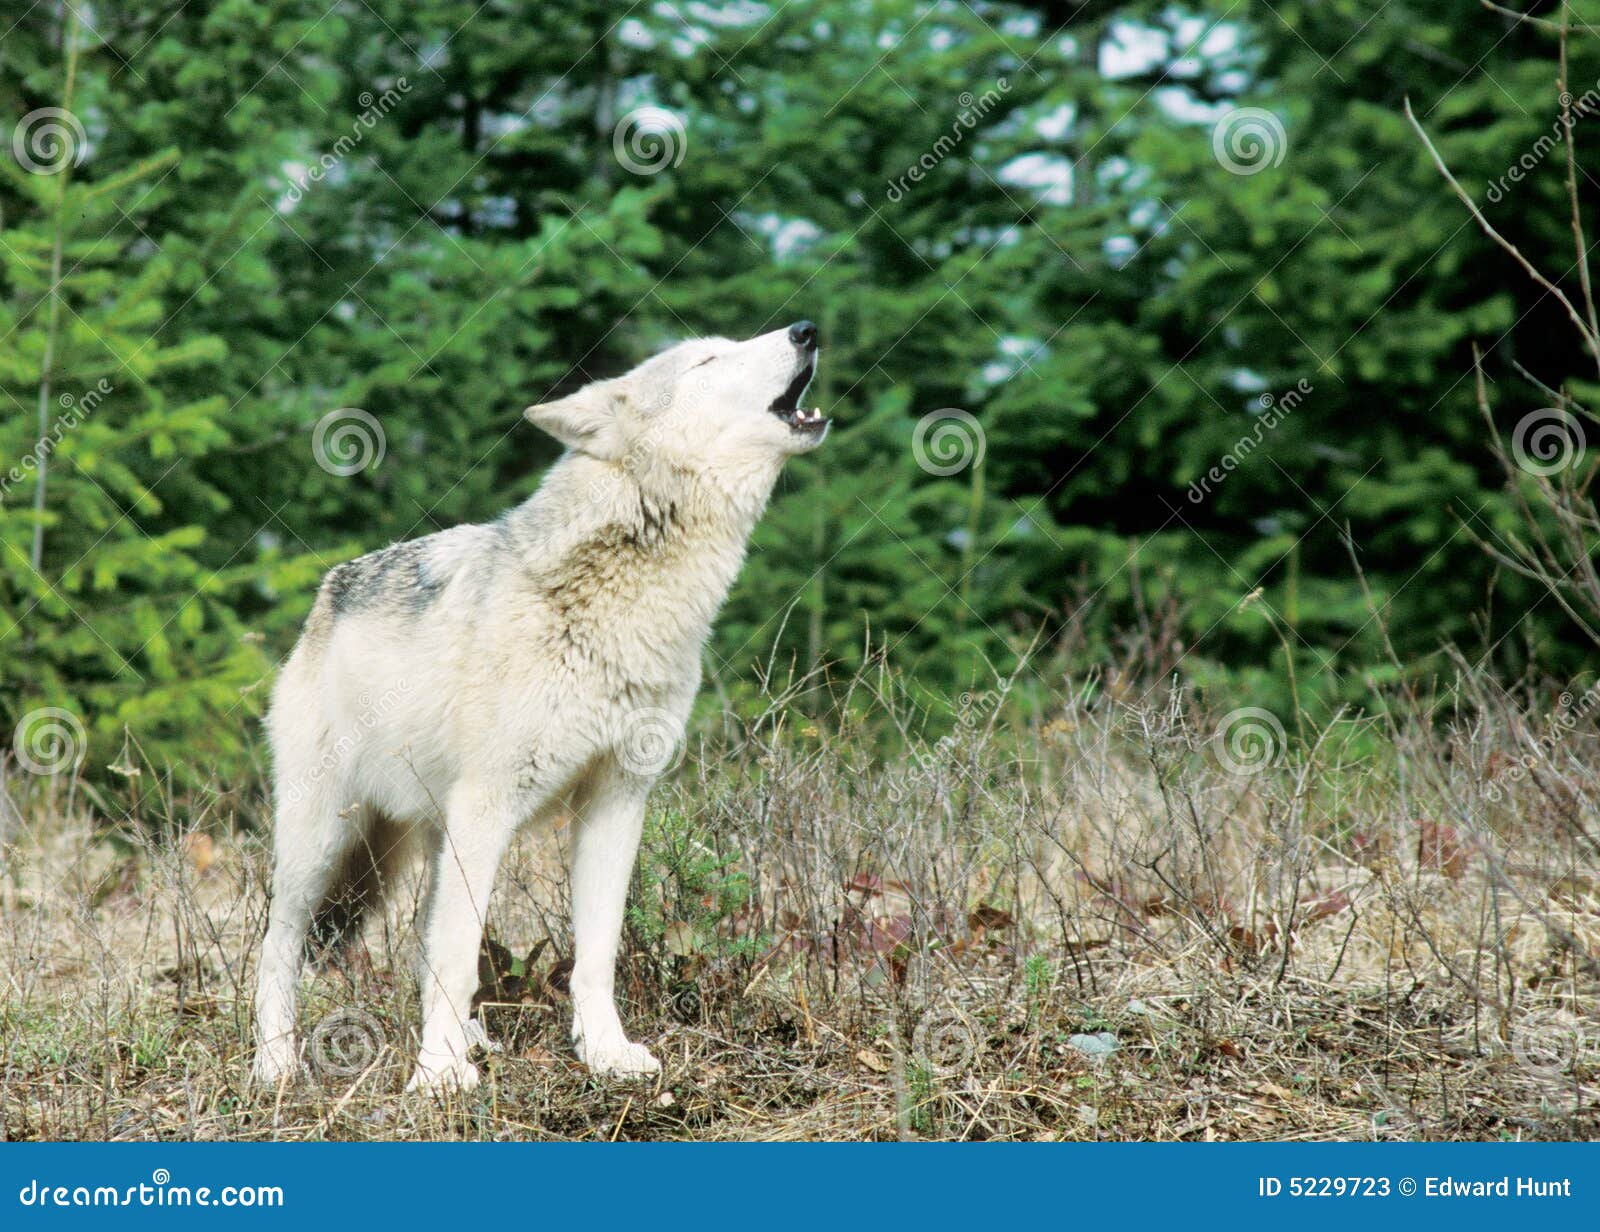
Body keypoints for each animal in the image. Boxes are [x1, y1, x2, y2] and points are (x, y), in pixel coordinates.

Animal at [252, 321, 827, 1092]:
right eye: (709, 357)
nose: (806, 330)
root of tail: (328, 592)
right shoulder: (489, 802)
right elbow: (459, 953)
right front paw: (438, 1078)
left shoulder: (618, 798)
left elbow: (594, 952)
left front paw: (607, 1054)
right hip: (326, 840)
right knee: (279, 945)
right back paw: (276, 1064)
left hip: (430, 838)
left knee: (424, 940)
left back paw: (472, 1037)